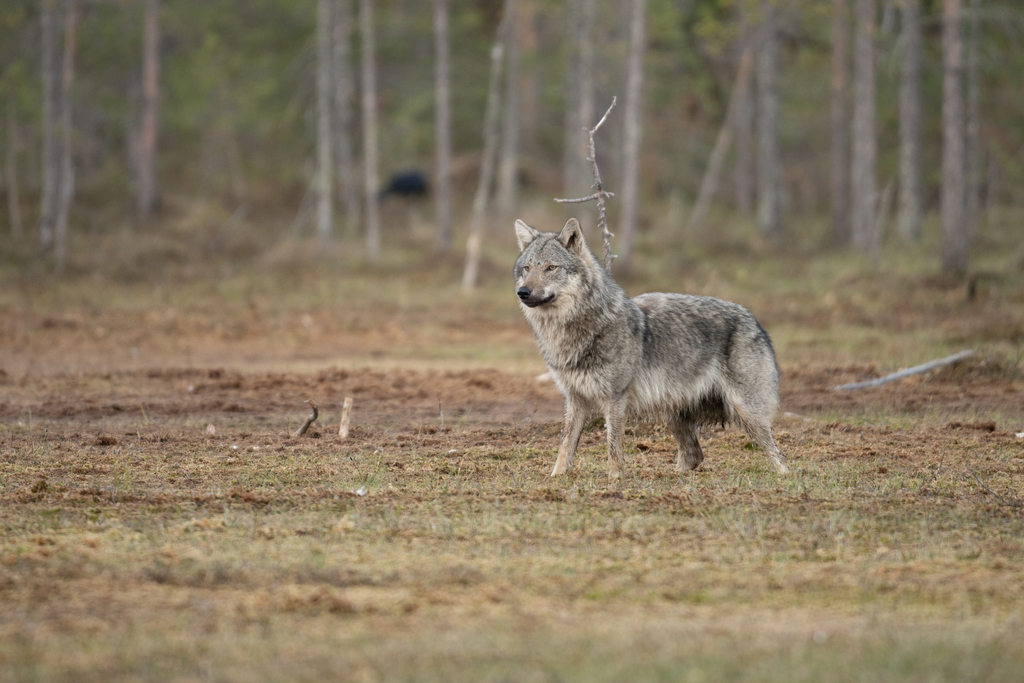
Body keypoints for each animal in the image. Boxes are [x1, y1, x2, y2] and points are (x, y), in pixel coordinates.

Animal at [513, 217, 788, 478]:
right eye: (527, 268)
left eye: (551, 267)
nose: (522, 292)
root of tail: (755, 320)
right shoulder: (575, 398)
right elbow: (565, 445)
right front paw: (556, 477)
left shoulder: (615, 398)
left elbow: (613, 447)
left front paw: (615, 479)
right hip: (674, 414)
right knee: (694, 456)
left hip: (747, 413)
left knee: (780, 457)